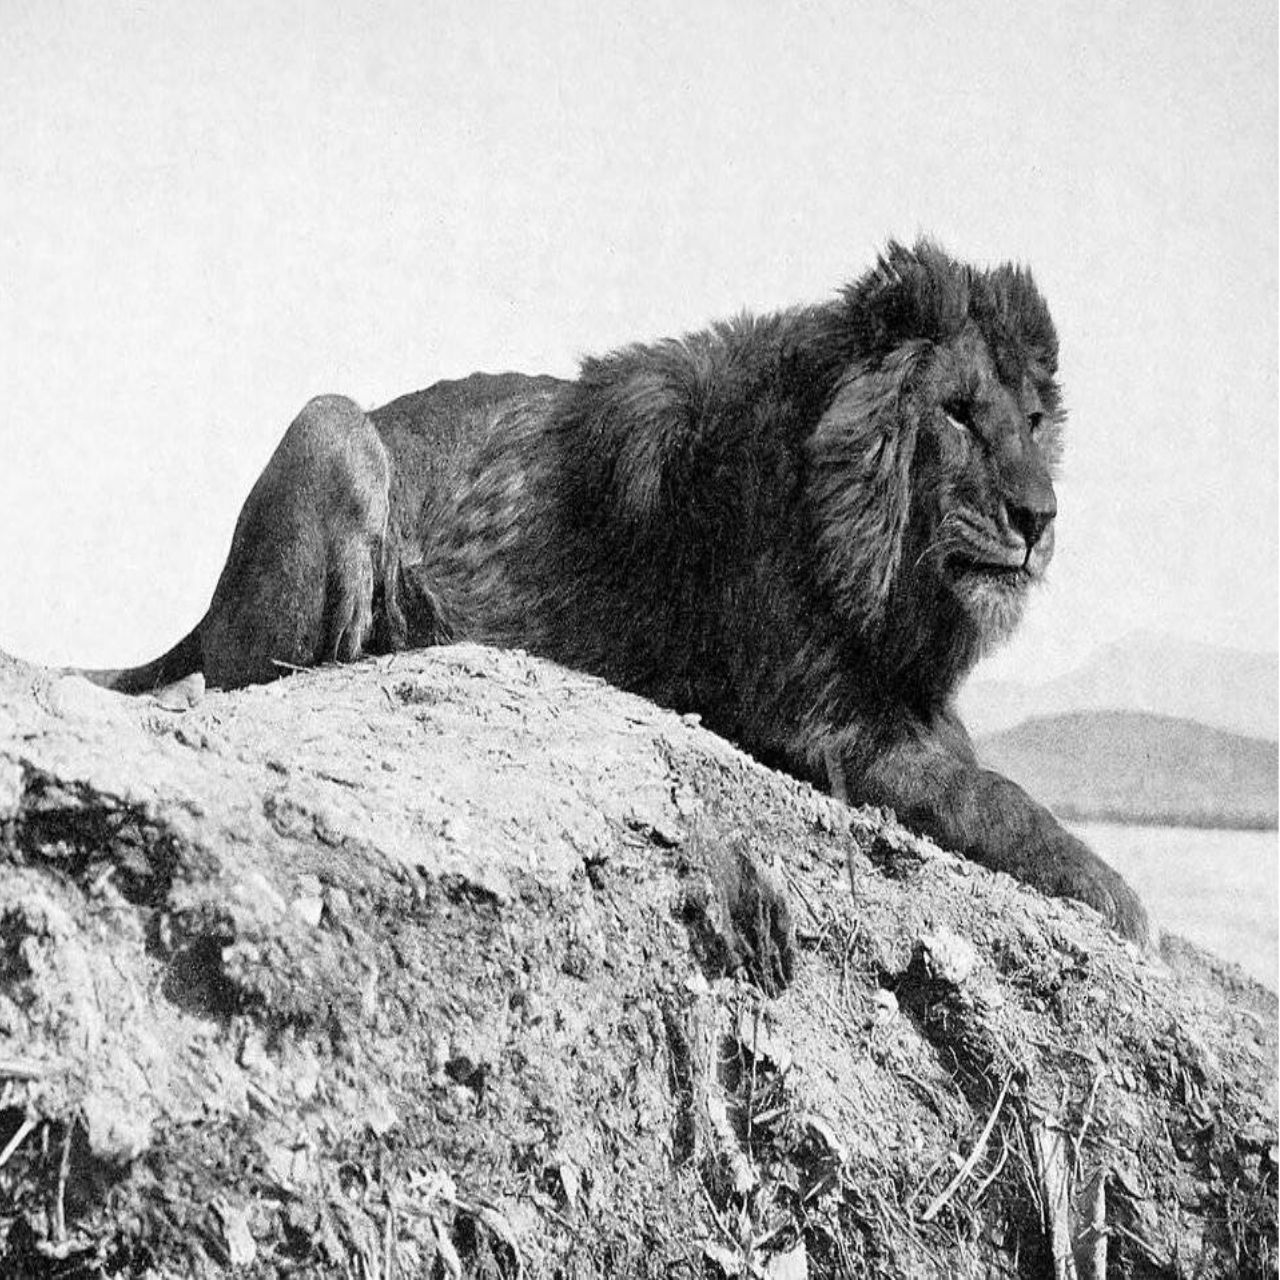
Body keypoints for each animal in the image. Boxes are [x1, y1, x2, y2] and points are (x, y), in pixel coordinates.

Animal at [83, 240, 1149, 942]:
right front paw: (1118, 895)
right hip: (330, 422)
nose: (1038, 518)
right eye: (961, 415)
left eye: (1036, 419)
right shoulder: (815, 726)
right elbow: (992, 798)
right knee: (251, 668)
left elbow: (982, 773)